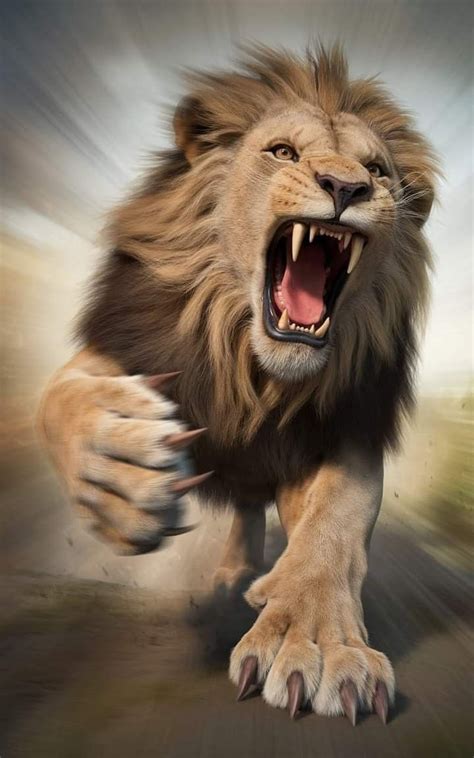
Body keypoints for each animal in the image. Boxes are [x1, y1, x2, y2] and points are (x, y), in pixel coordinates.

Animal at [38, 45, 438, 723]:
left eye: (377, 170)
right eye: (283, 152)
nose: (346, 187)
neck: (253, 371)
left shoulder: (347, 427)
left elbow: (333, 525)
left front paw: (316, 644)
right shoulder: (123, 348)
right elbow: (60, 399)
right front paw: (124, 475)